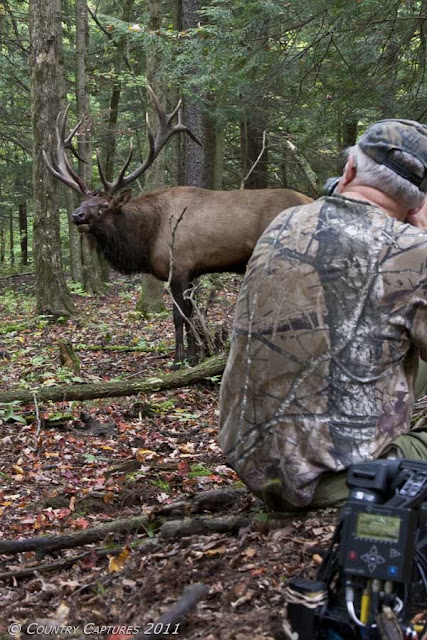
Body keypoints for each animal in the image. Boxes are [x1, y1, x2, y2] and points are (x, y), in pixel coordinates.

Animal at [43, 88, 313, 365]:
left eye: (103, 206)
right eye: (83, 201)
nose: (76, 215)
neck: (148, 237)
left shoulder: (180, 267)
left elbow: (178, 316)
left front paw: (179, 360)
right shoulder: (193, 271)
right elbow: (191, 315)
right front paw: (193, 356)